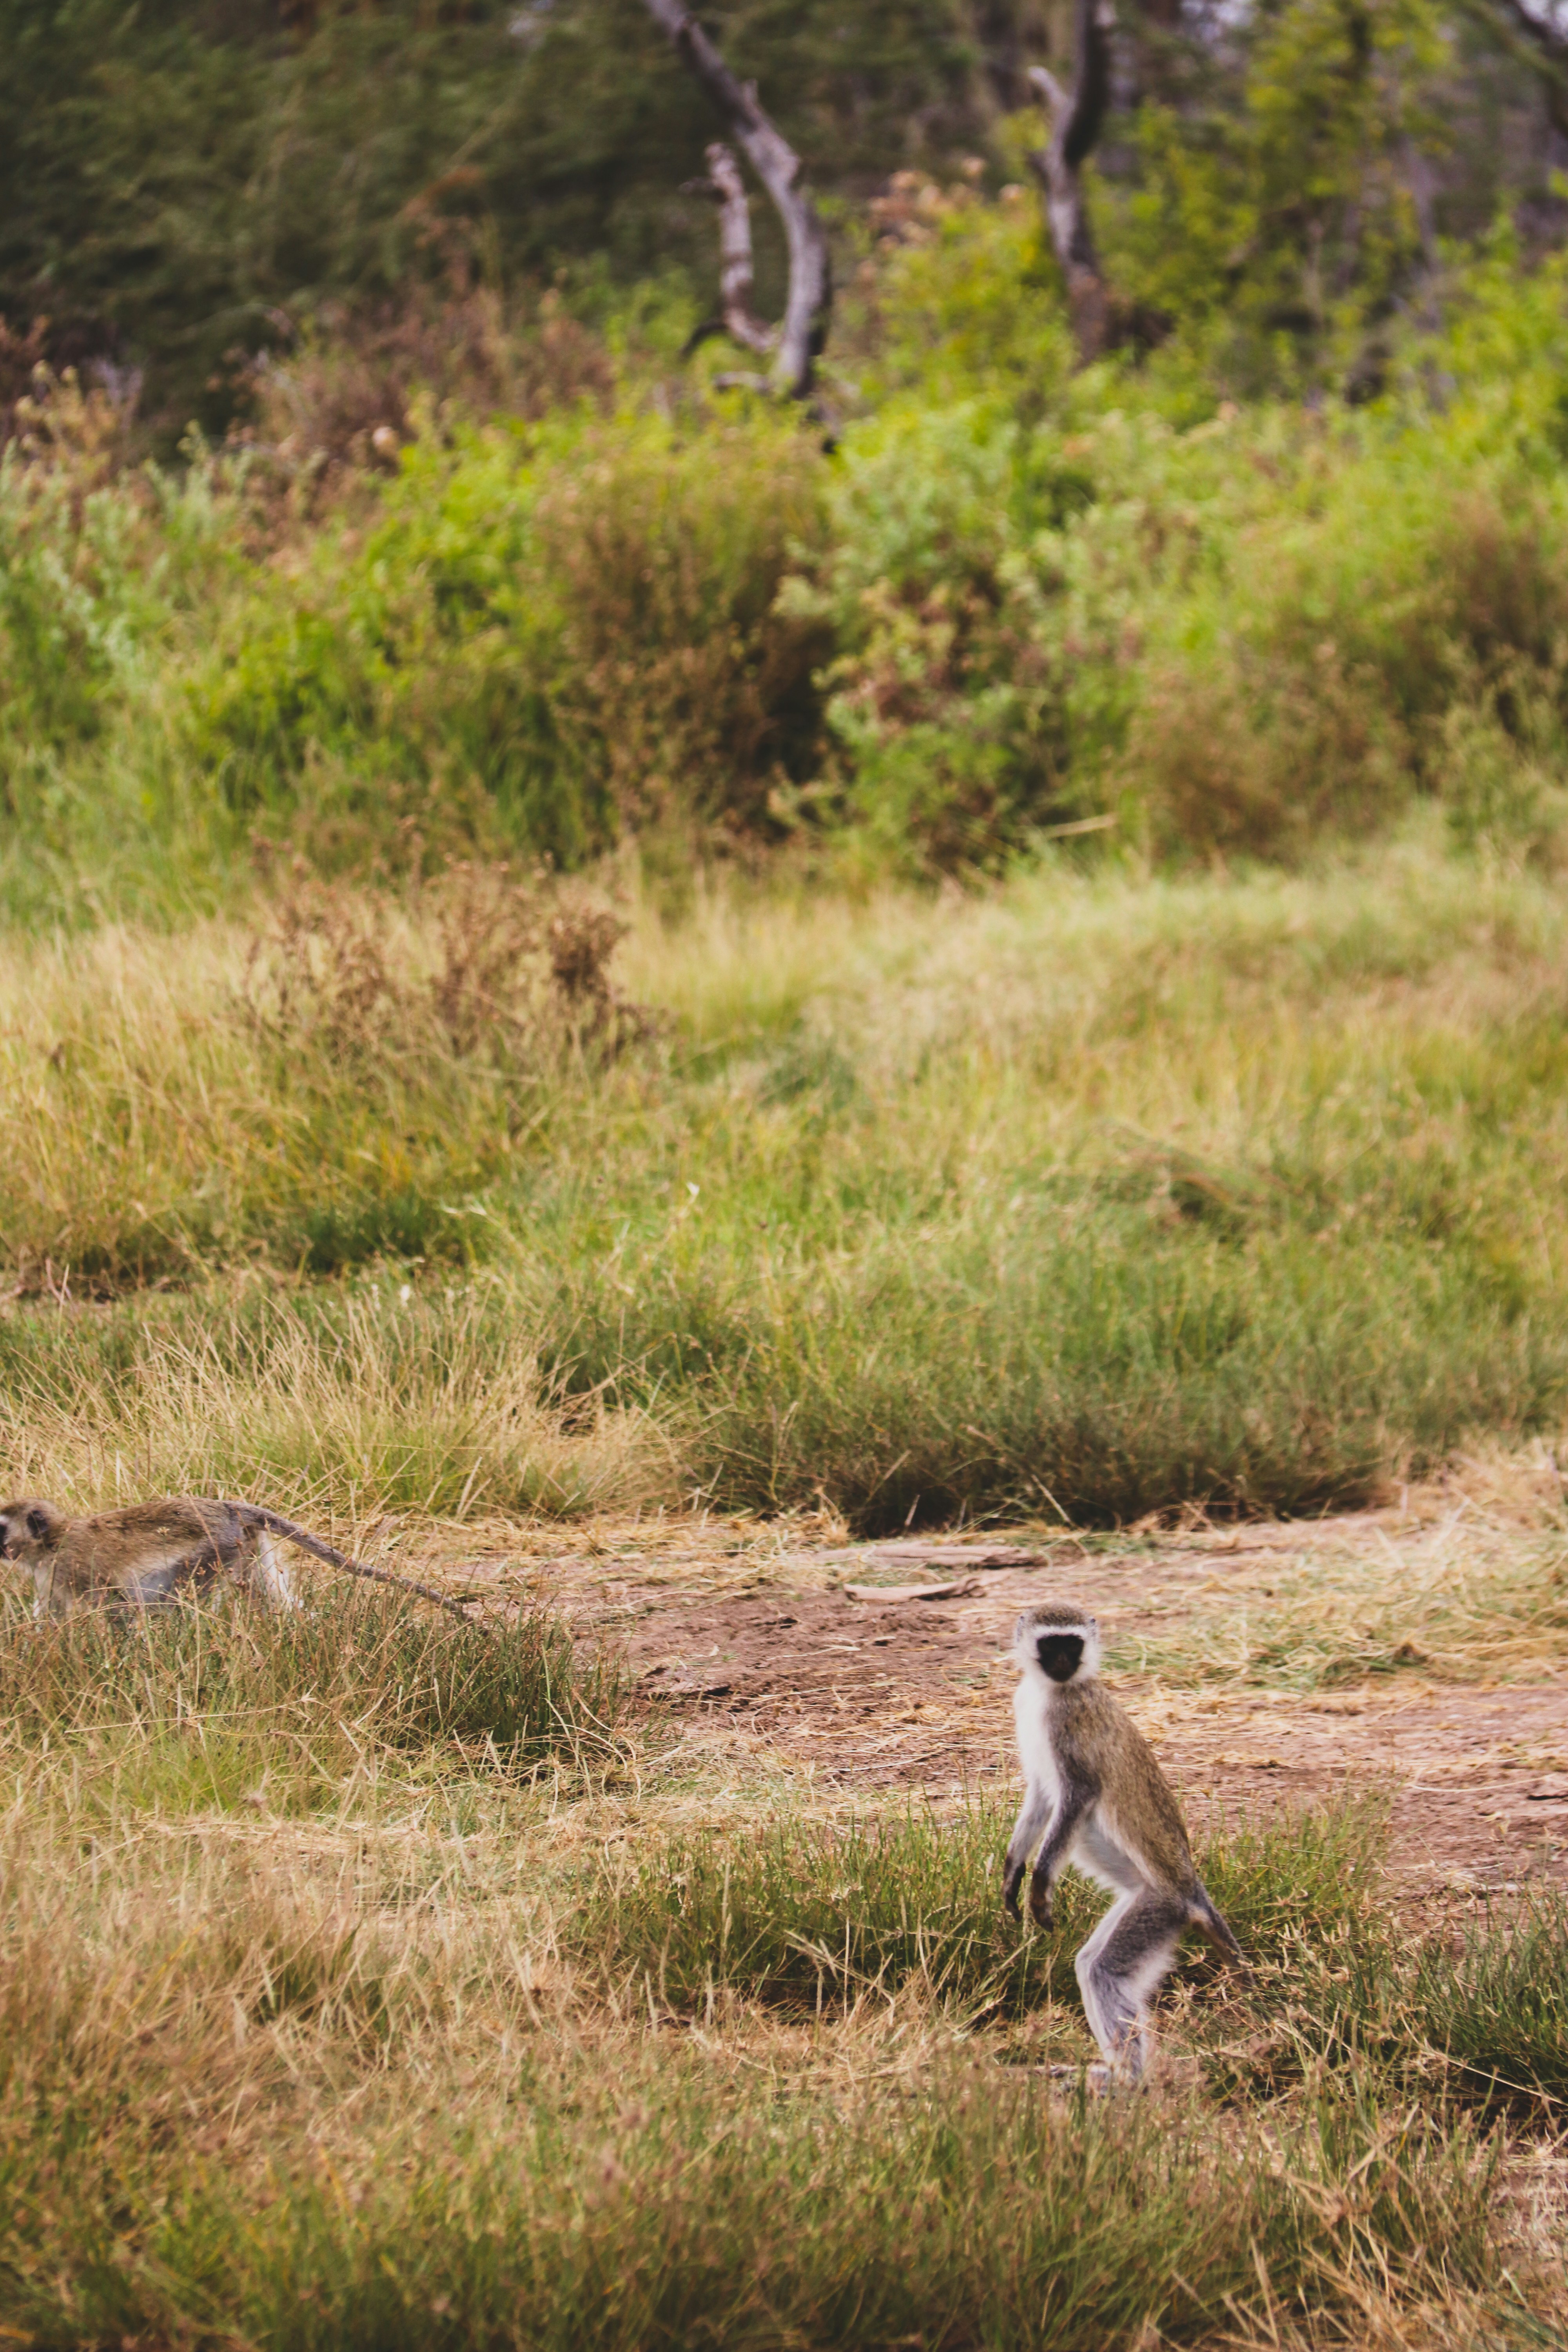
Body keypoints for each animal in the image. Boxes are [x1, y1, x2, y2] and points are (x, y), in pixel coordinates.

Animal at [0, 1497, 475, 1624]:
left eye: (2, 1527)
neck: (53, 1541)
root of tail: (232, 1509)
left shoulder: (76, 1570)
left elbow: (116, 1611)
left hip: (213, 1552)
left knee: (176, 1605)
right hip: (248, 1549)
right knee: (276, 1601)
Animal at [1003, 1602, 1244, 2083]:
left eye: (1072, 1643)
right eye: (1051, 1643)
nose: (1064, 1662)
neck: (1052, 1692)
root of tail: (1190, 1890)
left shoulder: (1070, 1725)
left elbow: (1078, 1796)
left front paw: (1040, 1886)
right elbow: (1040, 1796)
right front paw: (1014, 1870)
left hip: (1159, 1910)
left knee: (1105, 1972)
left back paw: (1127, 2084)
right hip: (1141, 1899)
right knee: (1090, 1964)